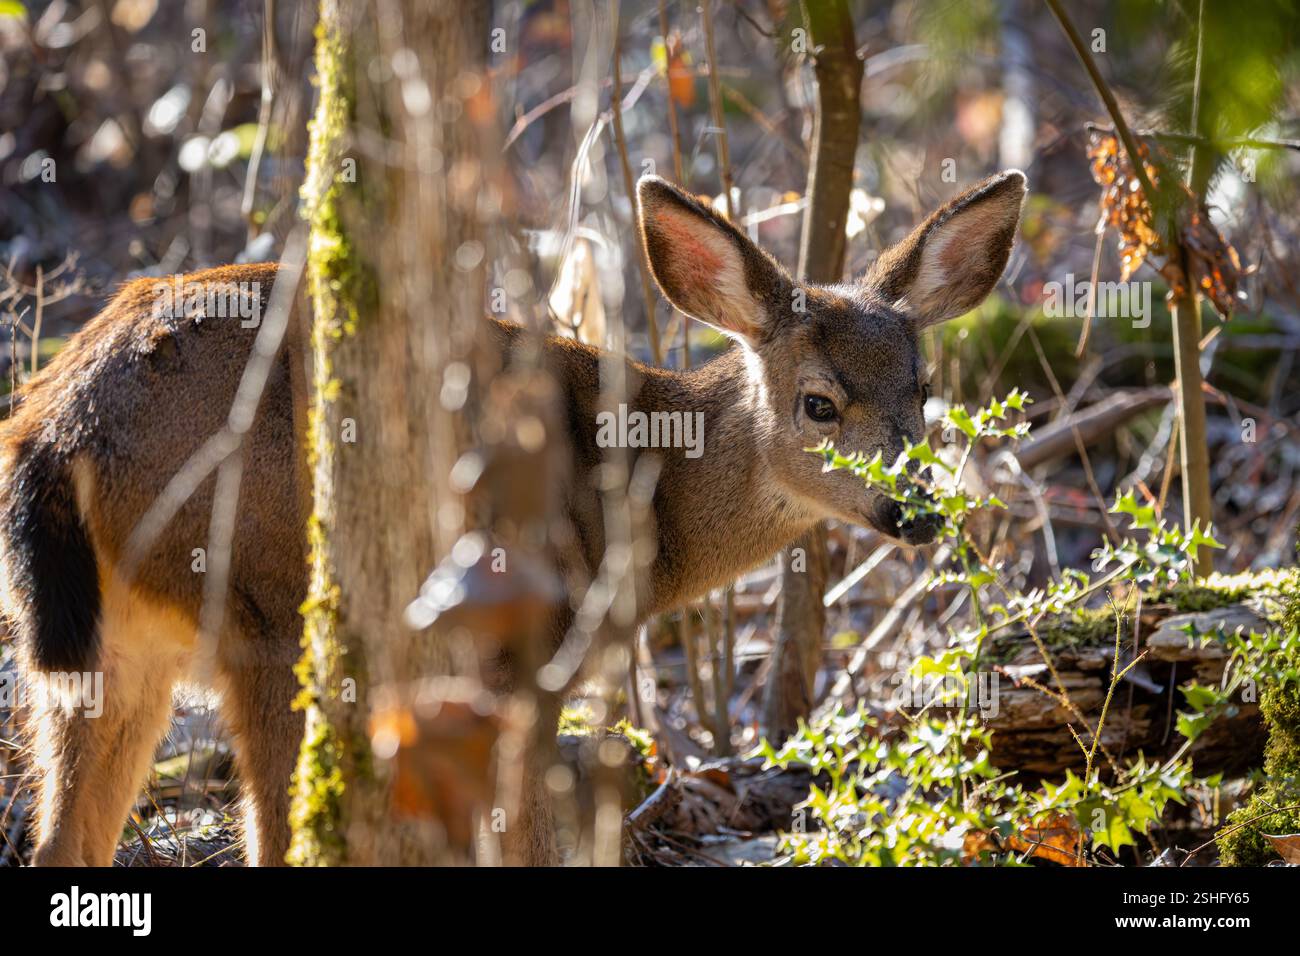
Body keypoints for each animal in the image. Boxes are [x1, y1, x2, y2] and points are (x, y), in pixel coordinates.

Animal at [0, 168, 1025, 867]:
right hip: (269, 604)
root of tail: (56, 426)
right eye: (819, 403)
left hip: (109, 644)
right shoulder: (524, 650)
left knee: (65, 841)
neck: (645, 498)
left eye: (923, 389)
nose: (918, 512)